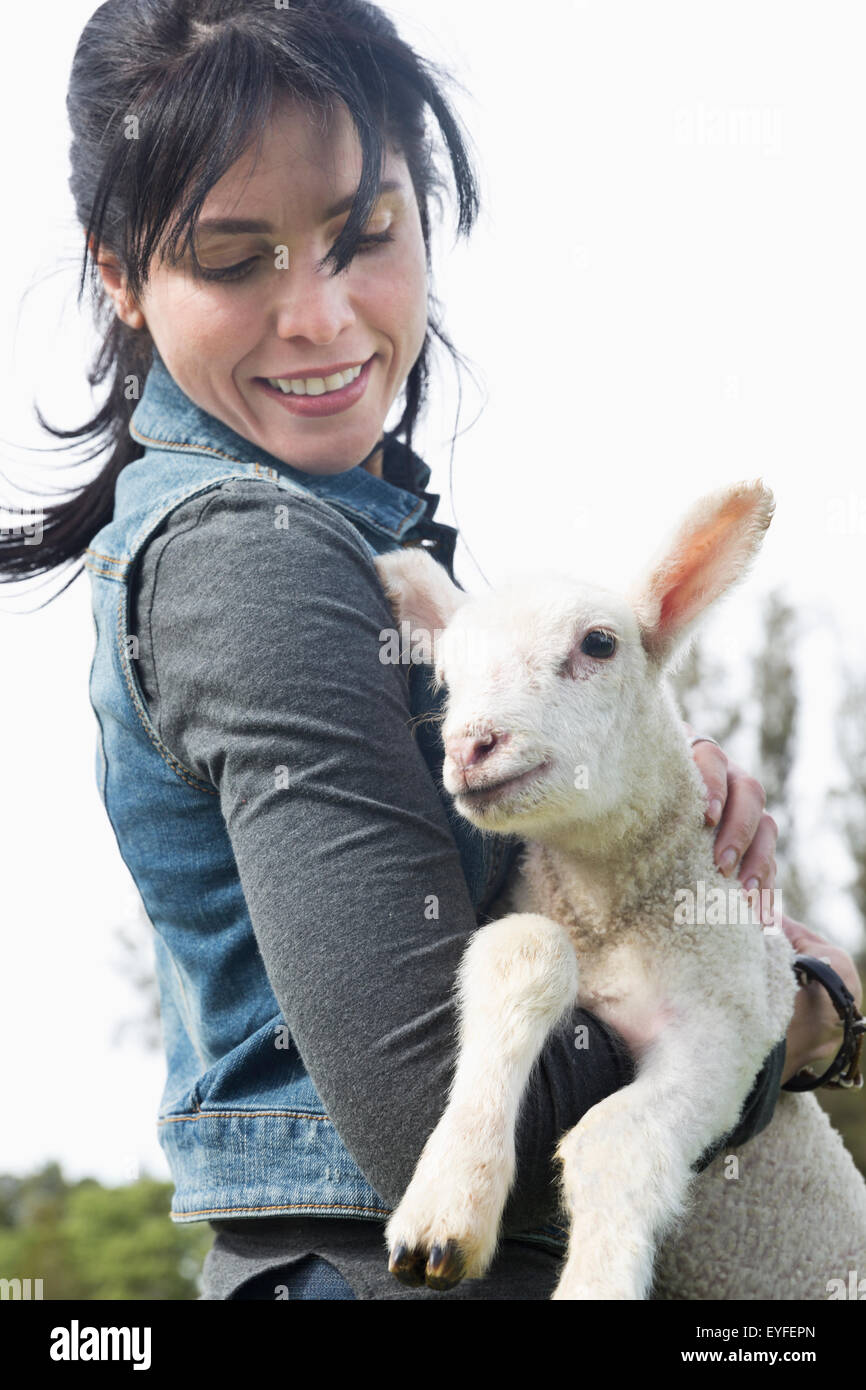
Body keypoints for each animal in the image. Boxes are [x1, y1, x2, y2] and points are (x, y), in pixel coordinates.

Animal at [372, 480, 866, 1301]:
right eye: (446, 677)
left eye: (599, 644)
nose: (472, 746)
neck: (609, 910)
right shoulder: (540, 916)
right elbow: (520, 948)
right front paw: (448, 1204)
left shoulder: (732, 1024)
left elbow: (611, 1141)